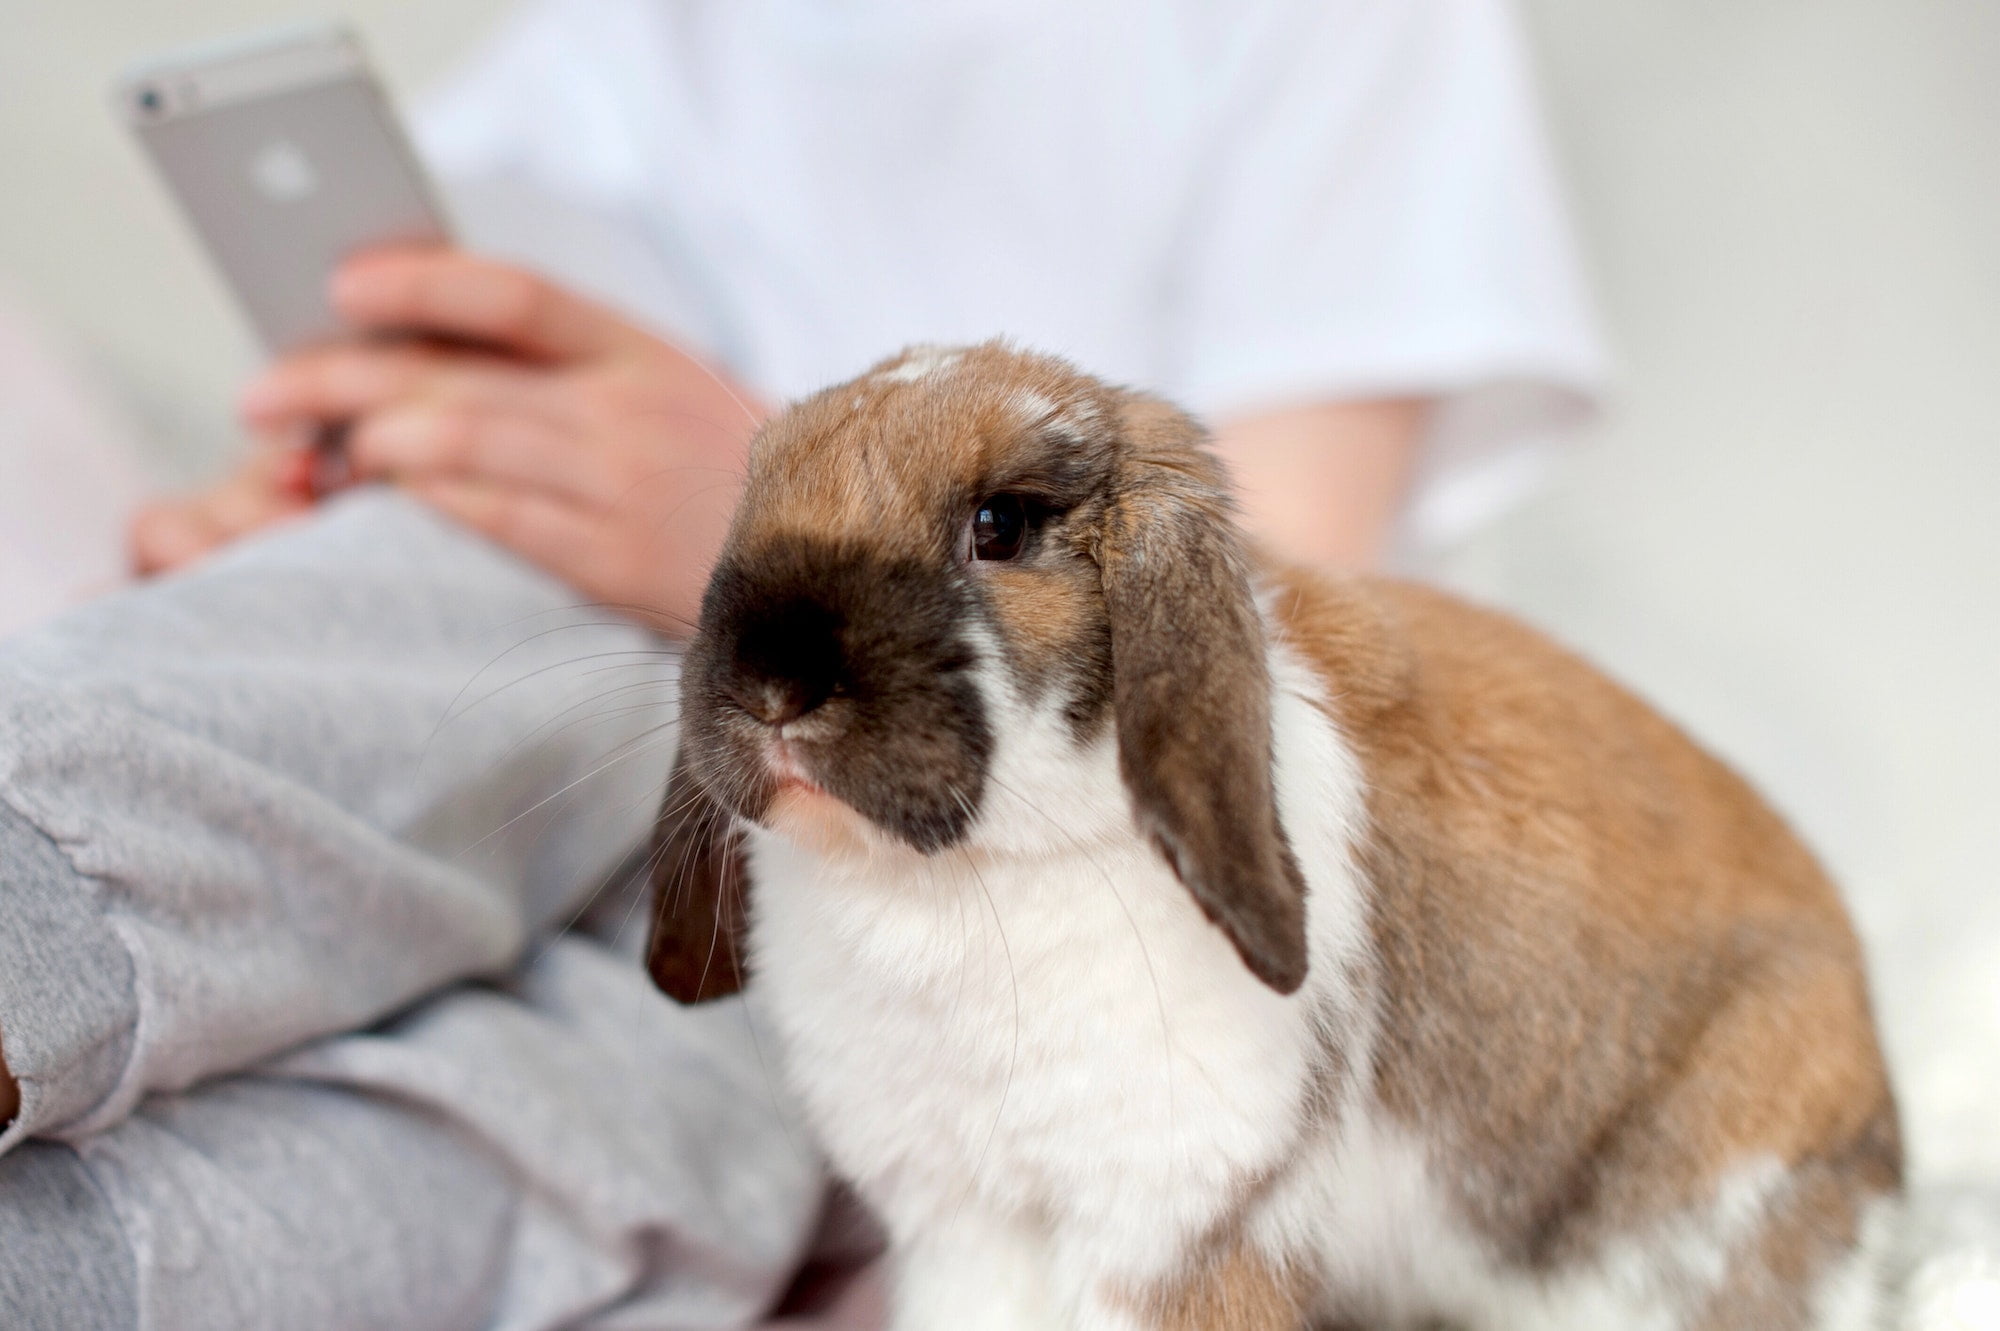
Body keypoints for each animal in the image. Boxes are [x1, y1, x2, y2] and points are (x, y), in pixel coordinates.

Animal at [645, 342, 1902, 1331]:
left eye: (998, 524)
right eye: (752, 499)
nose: (769, 680)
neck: (969, 878)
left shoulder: (1177, 1229)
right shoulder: (966, 1227)